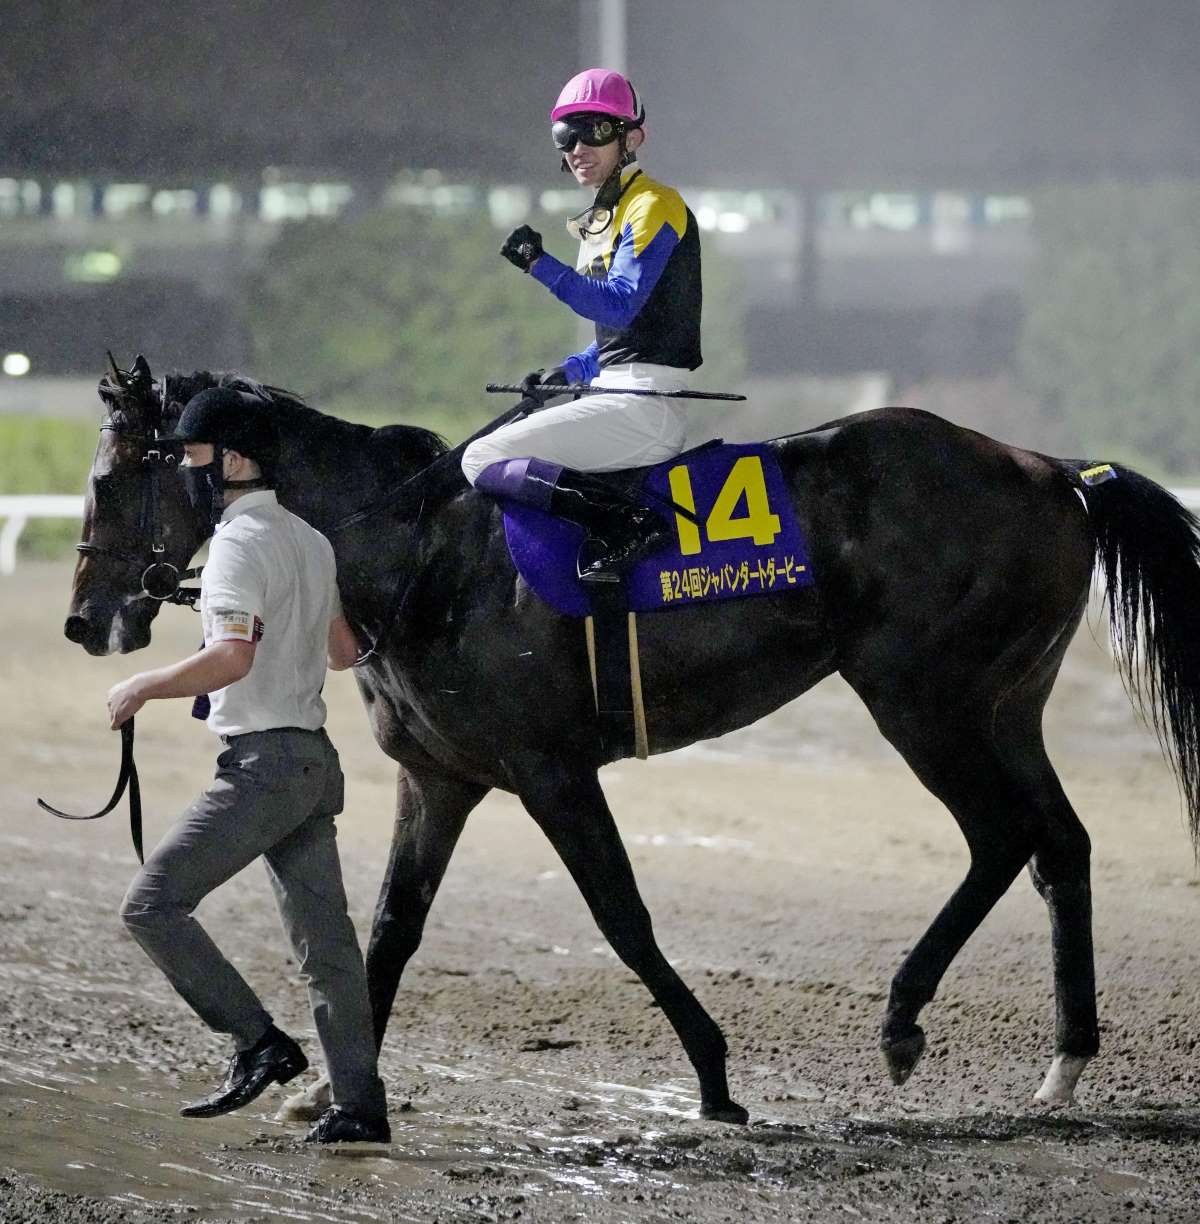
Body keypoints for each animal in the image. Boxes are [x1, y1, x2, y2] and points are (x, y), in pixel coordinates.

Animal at [63, 358, 1200, 1123]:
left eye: (112, 480)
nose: (83, 621)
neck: (422, 552)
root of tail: (1054, 468)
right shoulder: (440, 779)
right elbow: (386, 929)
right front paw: (336, 1098)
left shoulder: (553, 772)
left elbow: (622, 917)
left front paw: (715, 1077)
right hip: (1005, 706)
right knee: (1060, 845)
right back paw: (1065, 1063)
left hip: (922, 698)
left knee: (1001, 839)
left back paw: (903, 1021)